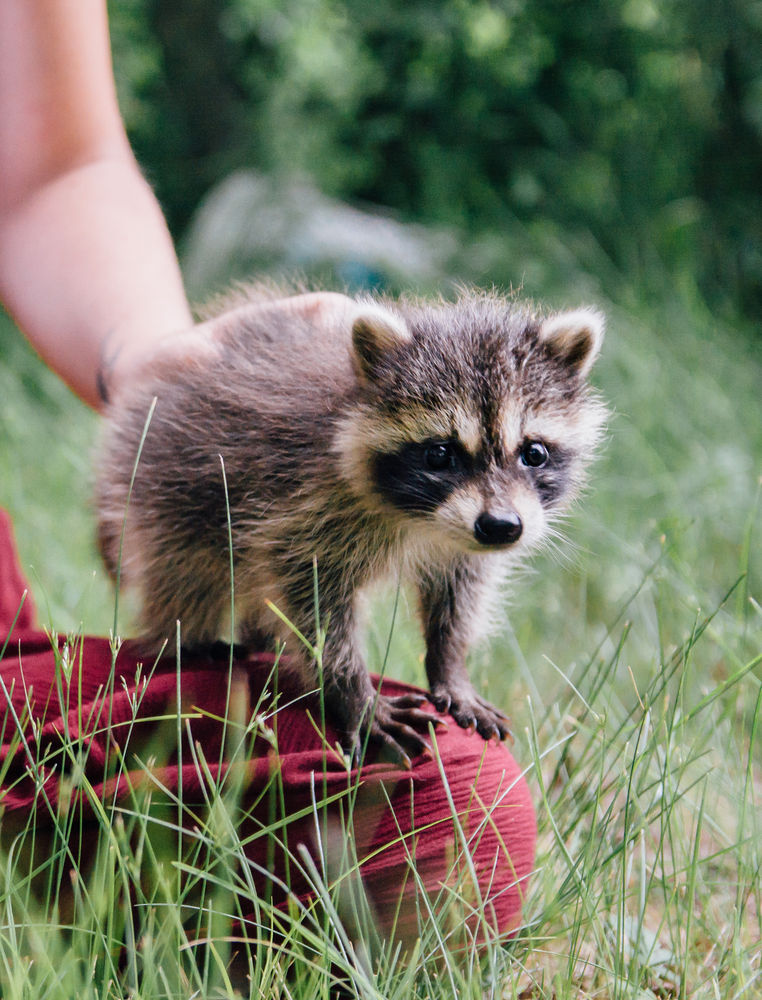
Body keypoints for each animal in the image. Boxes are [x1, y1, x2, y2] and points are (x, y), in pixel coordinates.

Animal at [96, 289, 606, 762]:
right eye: (439, 454)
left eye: (533, 452)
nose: (501, 527)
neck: (420, 519)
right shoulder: (301, 502)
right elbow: (313, 606)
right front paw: (353, 692)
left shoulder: (465, 541)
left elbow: (459, 592)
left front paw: (450, 663)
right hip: (169, 491)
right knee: (185, 573)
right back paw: (186, 642)